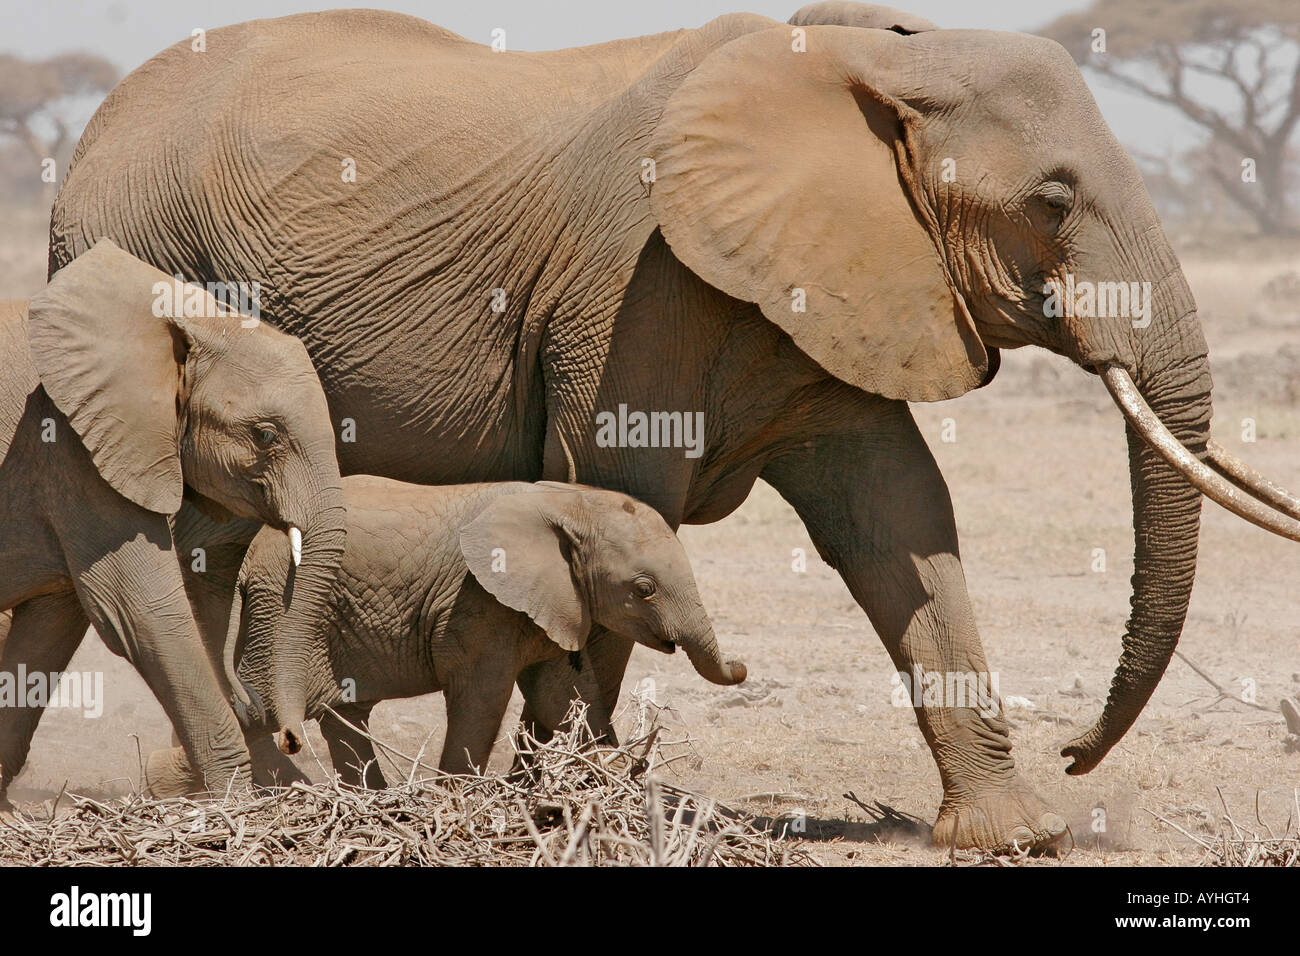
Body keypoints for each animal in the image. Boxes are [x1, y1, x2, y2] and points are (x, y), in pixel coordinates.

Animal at [0, 240, 345, 803]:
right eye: (266, 435)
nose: (291, 738)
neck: (191, 319)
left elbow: (51, 624)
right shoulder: (73, 447)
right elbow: (142, 611)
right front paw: (234, 803)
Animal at [186, 477, 744, 785]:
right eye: (644, 588)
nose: (739, 668)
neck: (572, 503)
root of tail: (251, 558)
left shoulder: (555, 600)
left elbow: (559, 695)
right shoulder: (477, 601)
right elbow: (482, 698)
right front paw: (458, 792)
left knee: (345, 716)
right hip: (281, 612)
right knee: (265, 711)